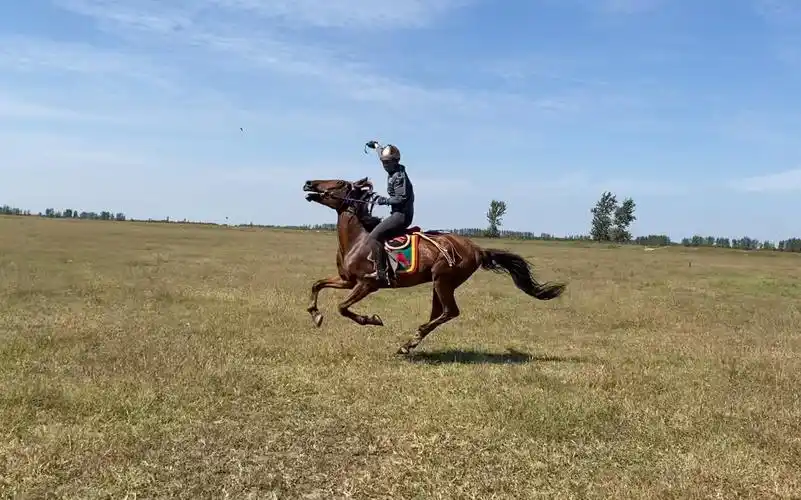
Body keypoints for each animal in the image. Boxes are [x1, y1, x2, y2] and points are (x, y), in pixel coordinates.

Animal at [302, 177, 567, 354]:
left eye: (338, 182)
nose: (308, 183)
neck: (359, 239)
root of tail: (477, 249)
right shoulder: (348, 281)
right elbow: (317, 285)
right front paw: (315, 315)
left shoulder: (368, 284)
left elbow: (342, 307)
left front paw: (373, 319)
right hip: (438, 285)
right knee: (438, 313)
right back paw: (410, 343)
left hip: (443, 281)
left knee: (450, 312)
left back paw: (409, 343)